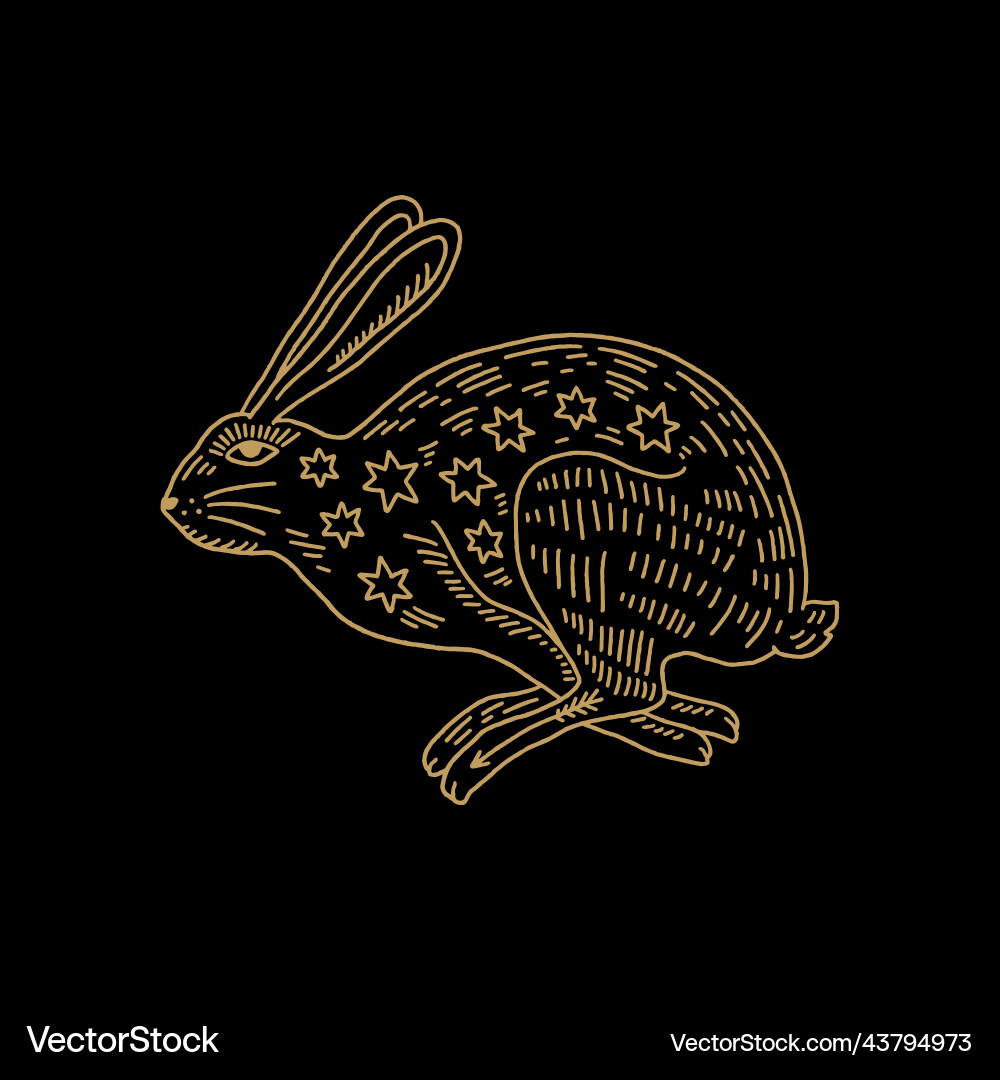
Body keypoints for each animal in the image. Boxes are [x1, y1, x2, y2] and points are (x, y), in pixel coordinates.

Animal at [161, 195, 838, 804]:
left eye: (249, 454)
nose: (173, 505)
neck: (337, 488)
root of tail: (778, 607)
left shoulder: (460, 582)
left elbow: (599, 683)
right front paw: (702, 726)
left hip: (568, 519)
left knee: (618, 684)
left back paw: (477, 752)